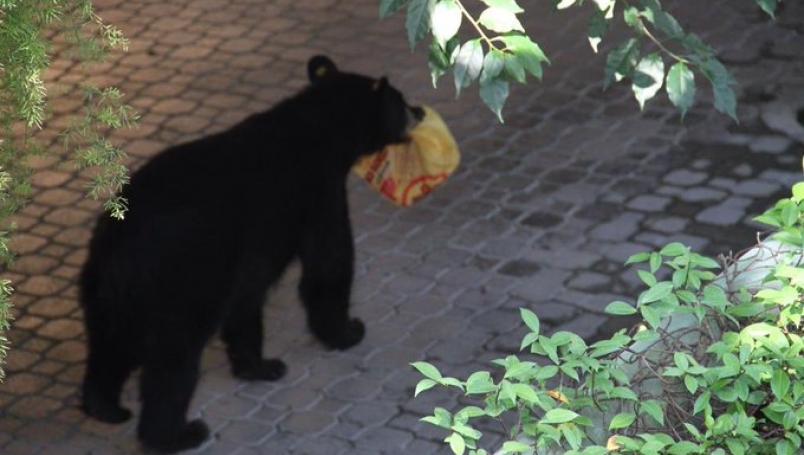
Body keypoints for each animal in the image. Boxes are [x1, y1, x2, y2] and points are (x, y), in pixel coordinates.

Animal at [79, 55, 424, 453]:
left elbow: (247, 297)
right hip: (181, 279)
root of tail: (120, 241)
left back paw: (104, 406)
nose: (419, 110)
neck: (320, 127)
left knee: (110, 343)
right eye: (400, 100)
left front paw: (259, 365)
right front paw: (348, 330)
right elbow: (329, 261)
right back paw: (177, 433)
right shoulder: (319, 190)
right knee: (173, 358)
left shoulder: (251, 249)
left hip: (108, 291)